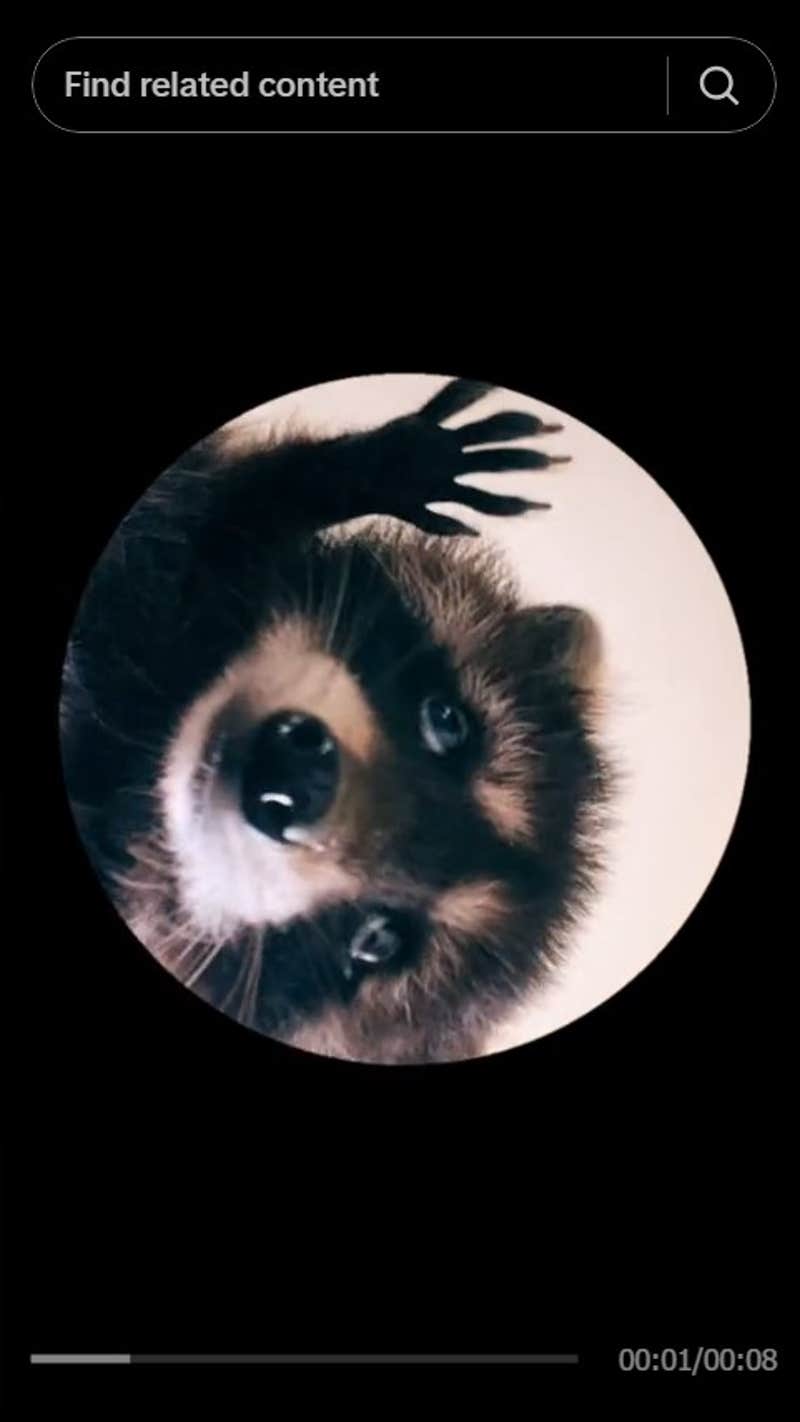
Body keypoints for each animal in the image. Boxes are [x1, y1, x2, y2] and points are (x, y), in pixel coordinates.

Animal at [60, 377, 611, 1064]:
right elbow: (216, 512)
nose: (297, 782)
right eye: (447, 722)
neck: (150, 724)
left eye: (376, 941)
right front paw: (358, 471)